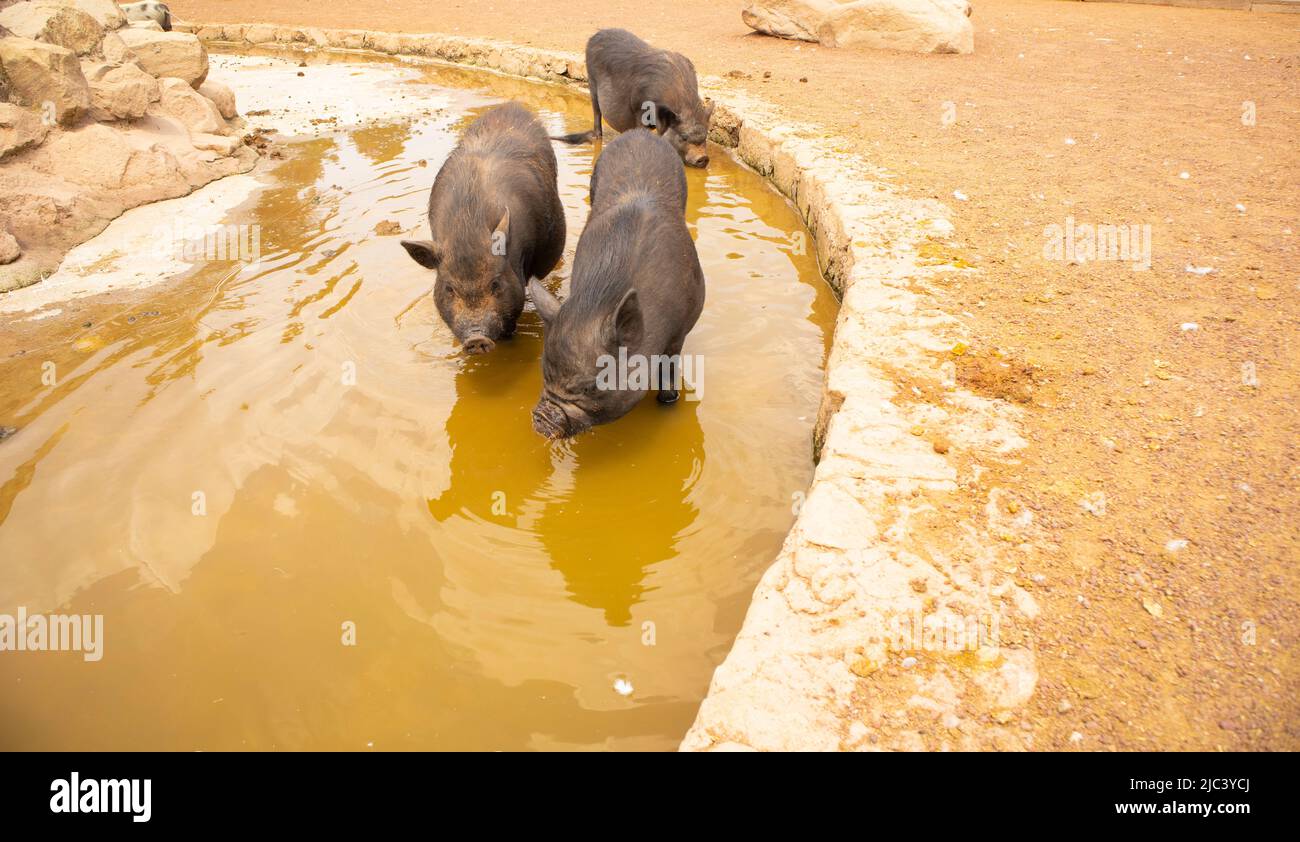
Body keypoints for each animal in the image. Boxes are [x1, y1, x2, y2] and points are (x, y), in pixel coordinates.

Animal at [528, 130, 705, 439]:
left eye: (591, 386)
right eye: (545, 371)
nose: (541, 419)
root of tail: (640, 133)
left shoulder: (680, 331)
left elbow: (670, 369)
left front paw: (668, 401)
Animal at [552, 28, 715, 168]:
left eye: (705, 136)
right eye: (683, 137)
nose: (703, 158)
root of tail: (596, 34)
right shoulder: (639, 109)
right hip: (591, 81)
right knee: (596, 113)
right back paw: (597, 136)